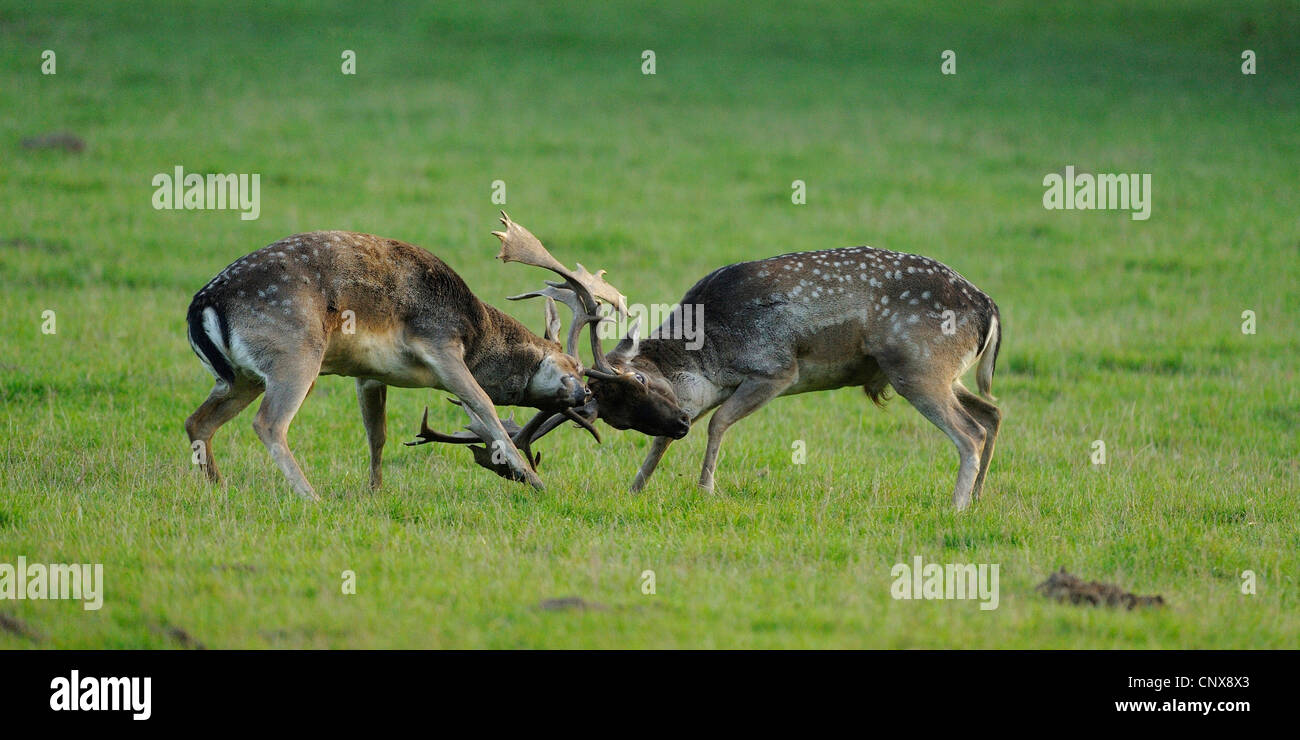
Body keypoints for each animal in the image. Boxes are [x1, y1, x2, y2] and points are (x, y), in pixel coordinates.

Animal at [183, 222, 622, 500]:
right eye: (574, 367)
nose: (585, 395)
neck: (479, 334)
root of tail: (201, 306)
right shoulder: (440, 343)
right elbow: (485, 406)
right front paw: (535, 480)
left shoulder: (368, 374)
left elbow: (376, 433)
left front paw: (375, 491)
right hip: (296, 353)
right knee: (269, 423)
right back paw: (311, 497)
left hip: (240, 377)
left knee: (197, 422)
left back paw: (220, 488)